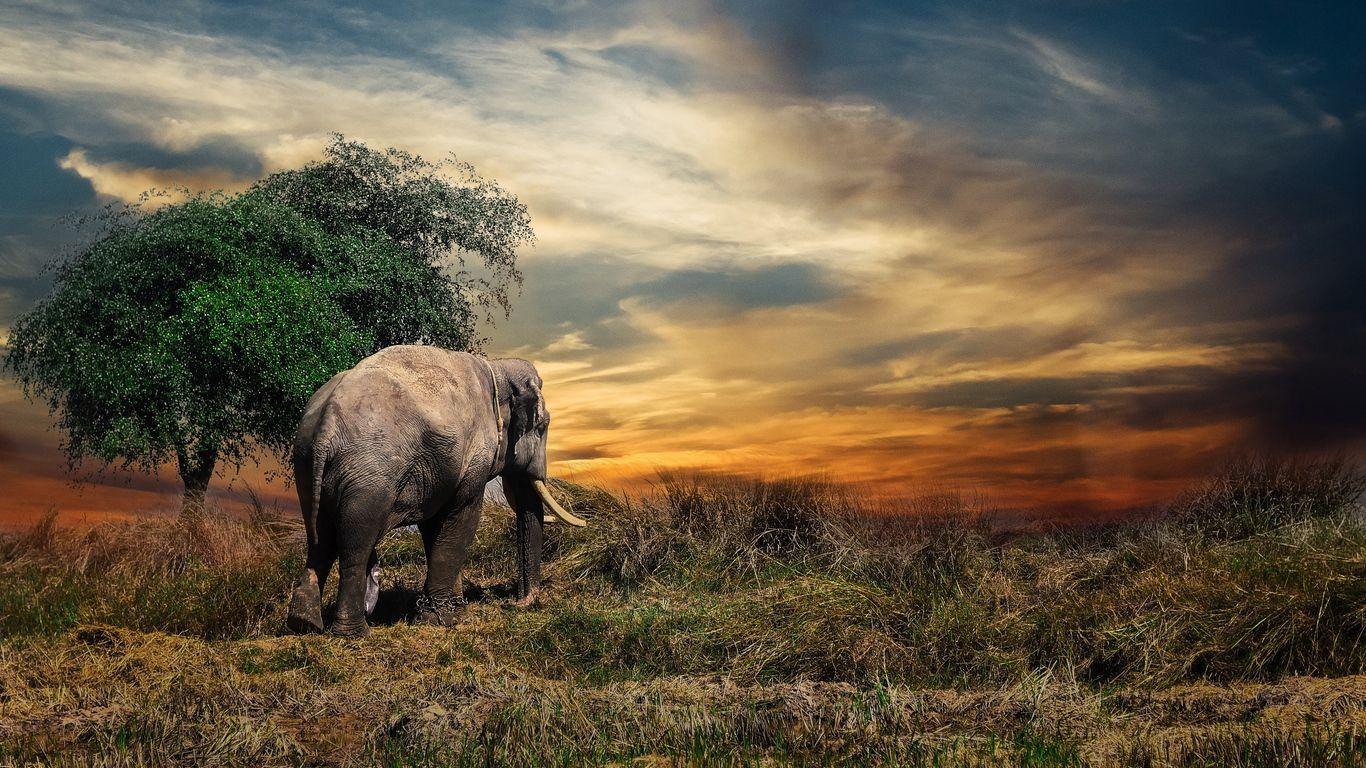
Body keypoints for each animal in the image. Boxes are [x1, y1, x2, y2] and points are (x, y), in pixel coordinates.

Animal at [285, 345, 586, 637]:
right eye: (543, 426)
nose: (515, 602)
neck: (497, 369)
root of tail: (326, 423)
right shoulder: (472, 457)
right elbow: (462, 519)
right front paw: (440, 620)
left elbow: (435, 527)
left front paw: (454, 614)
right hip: (368, 473)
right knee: (355, 544)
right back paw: (354, 633)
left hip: (306, 465)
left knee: (320, 539)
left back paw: (304, 624)